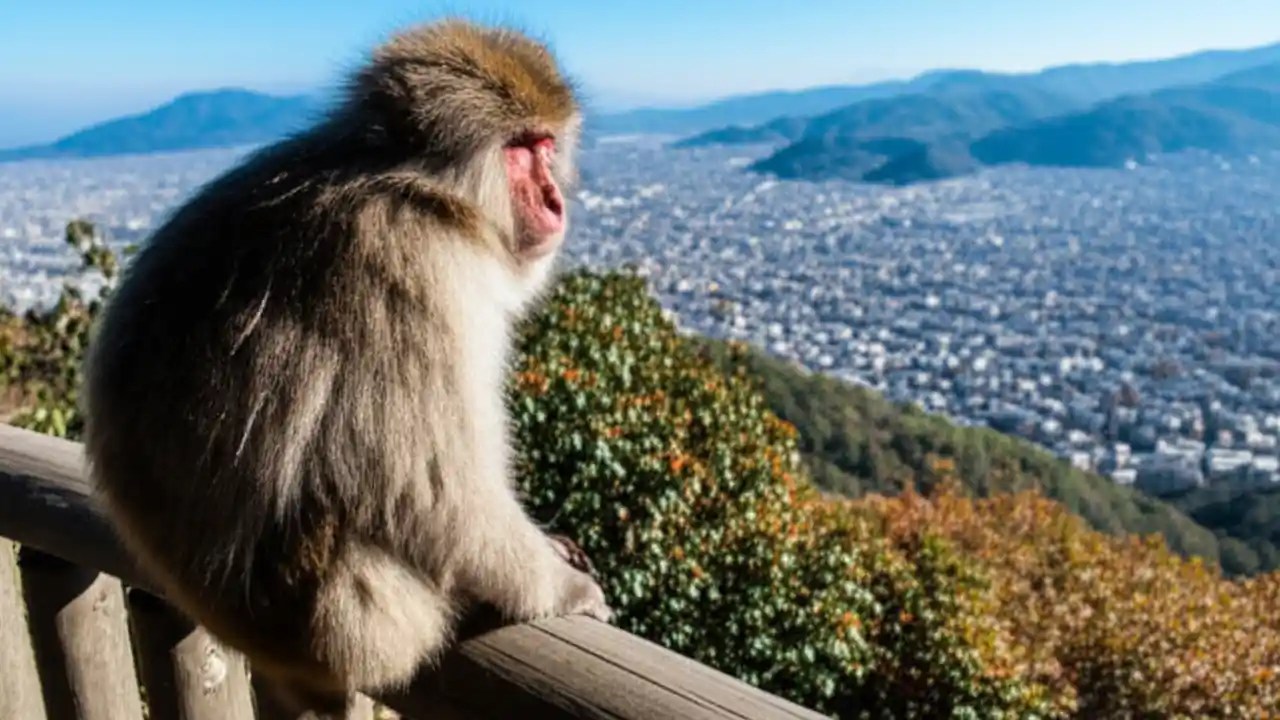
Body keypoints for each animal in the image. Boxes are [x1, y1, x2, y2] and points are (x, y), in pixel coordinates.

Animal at [80, 18, 611, 718]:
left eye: (547, 147)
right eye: (521, 151)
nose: (555, 200)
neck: (425, 195)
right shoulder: (414, 266)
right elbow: (432, 488)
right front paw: (563, 589)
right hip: (355, 618)